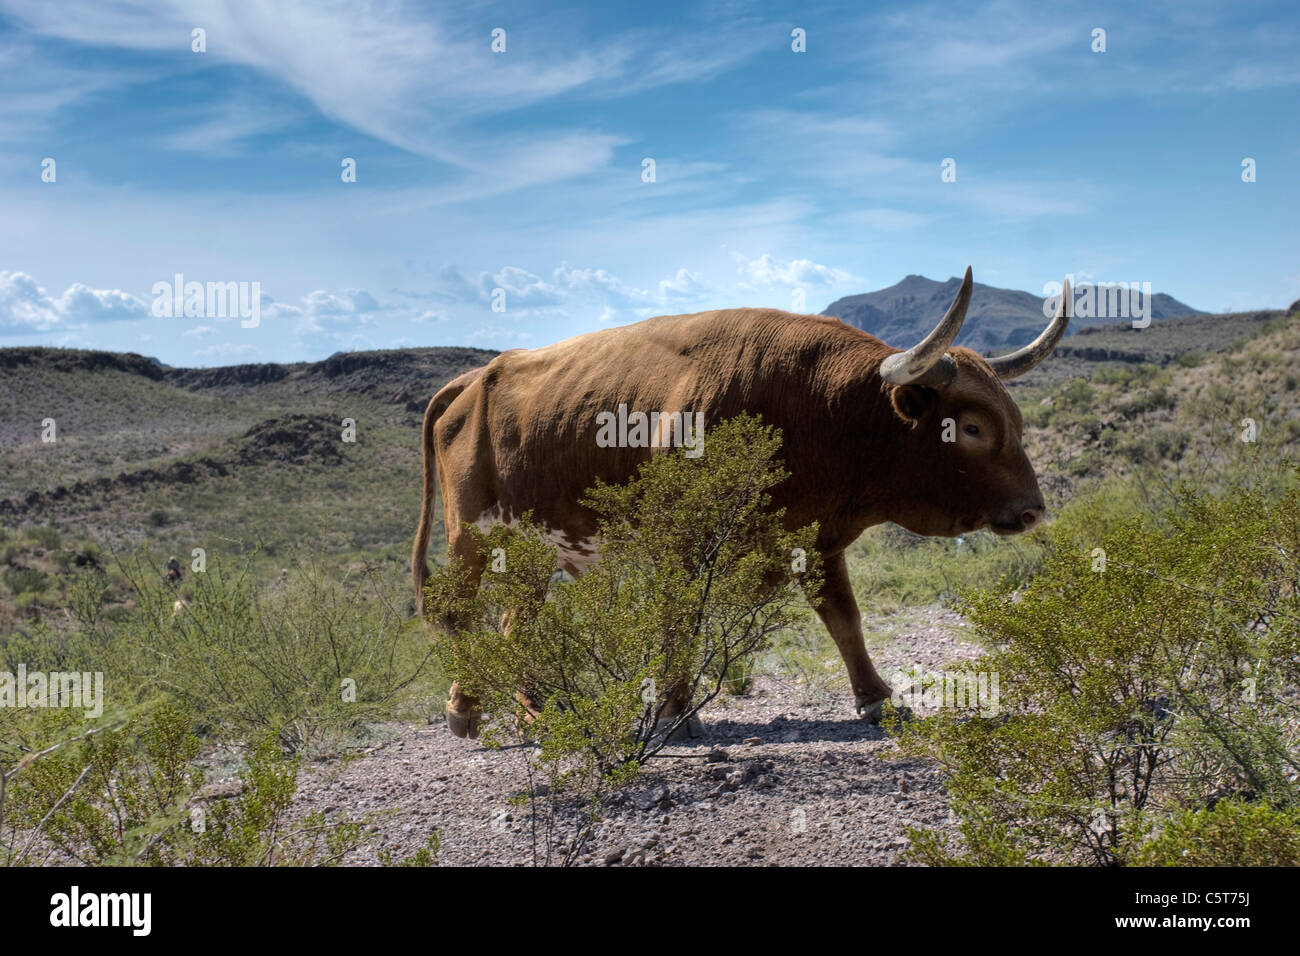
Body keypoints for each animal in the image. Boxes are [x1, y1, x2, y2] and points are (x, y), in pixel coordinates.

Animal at [413, 267, 1070, 739]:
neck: (819, 407)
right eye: (973, 428)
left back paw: (537, 710)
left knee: (513, 622)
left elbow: (844, 618)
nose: (1034, 511)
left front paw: (877, 699)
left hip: (531, 550)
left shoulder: (815, 539)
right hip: (472, 538)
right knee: (457, 611)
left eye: (1015, 418)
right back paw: (465, 710)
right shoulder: (685, 544)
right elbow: (684, 619)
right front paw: (675, 711)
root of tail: (475, 379)